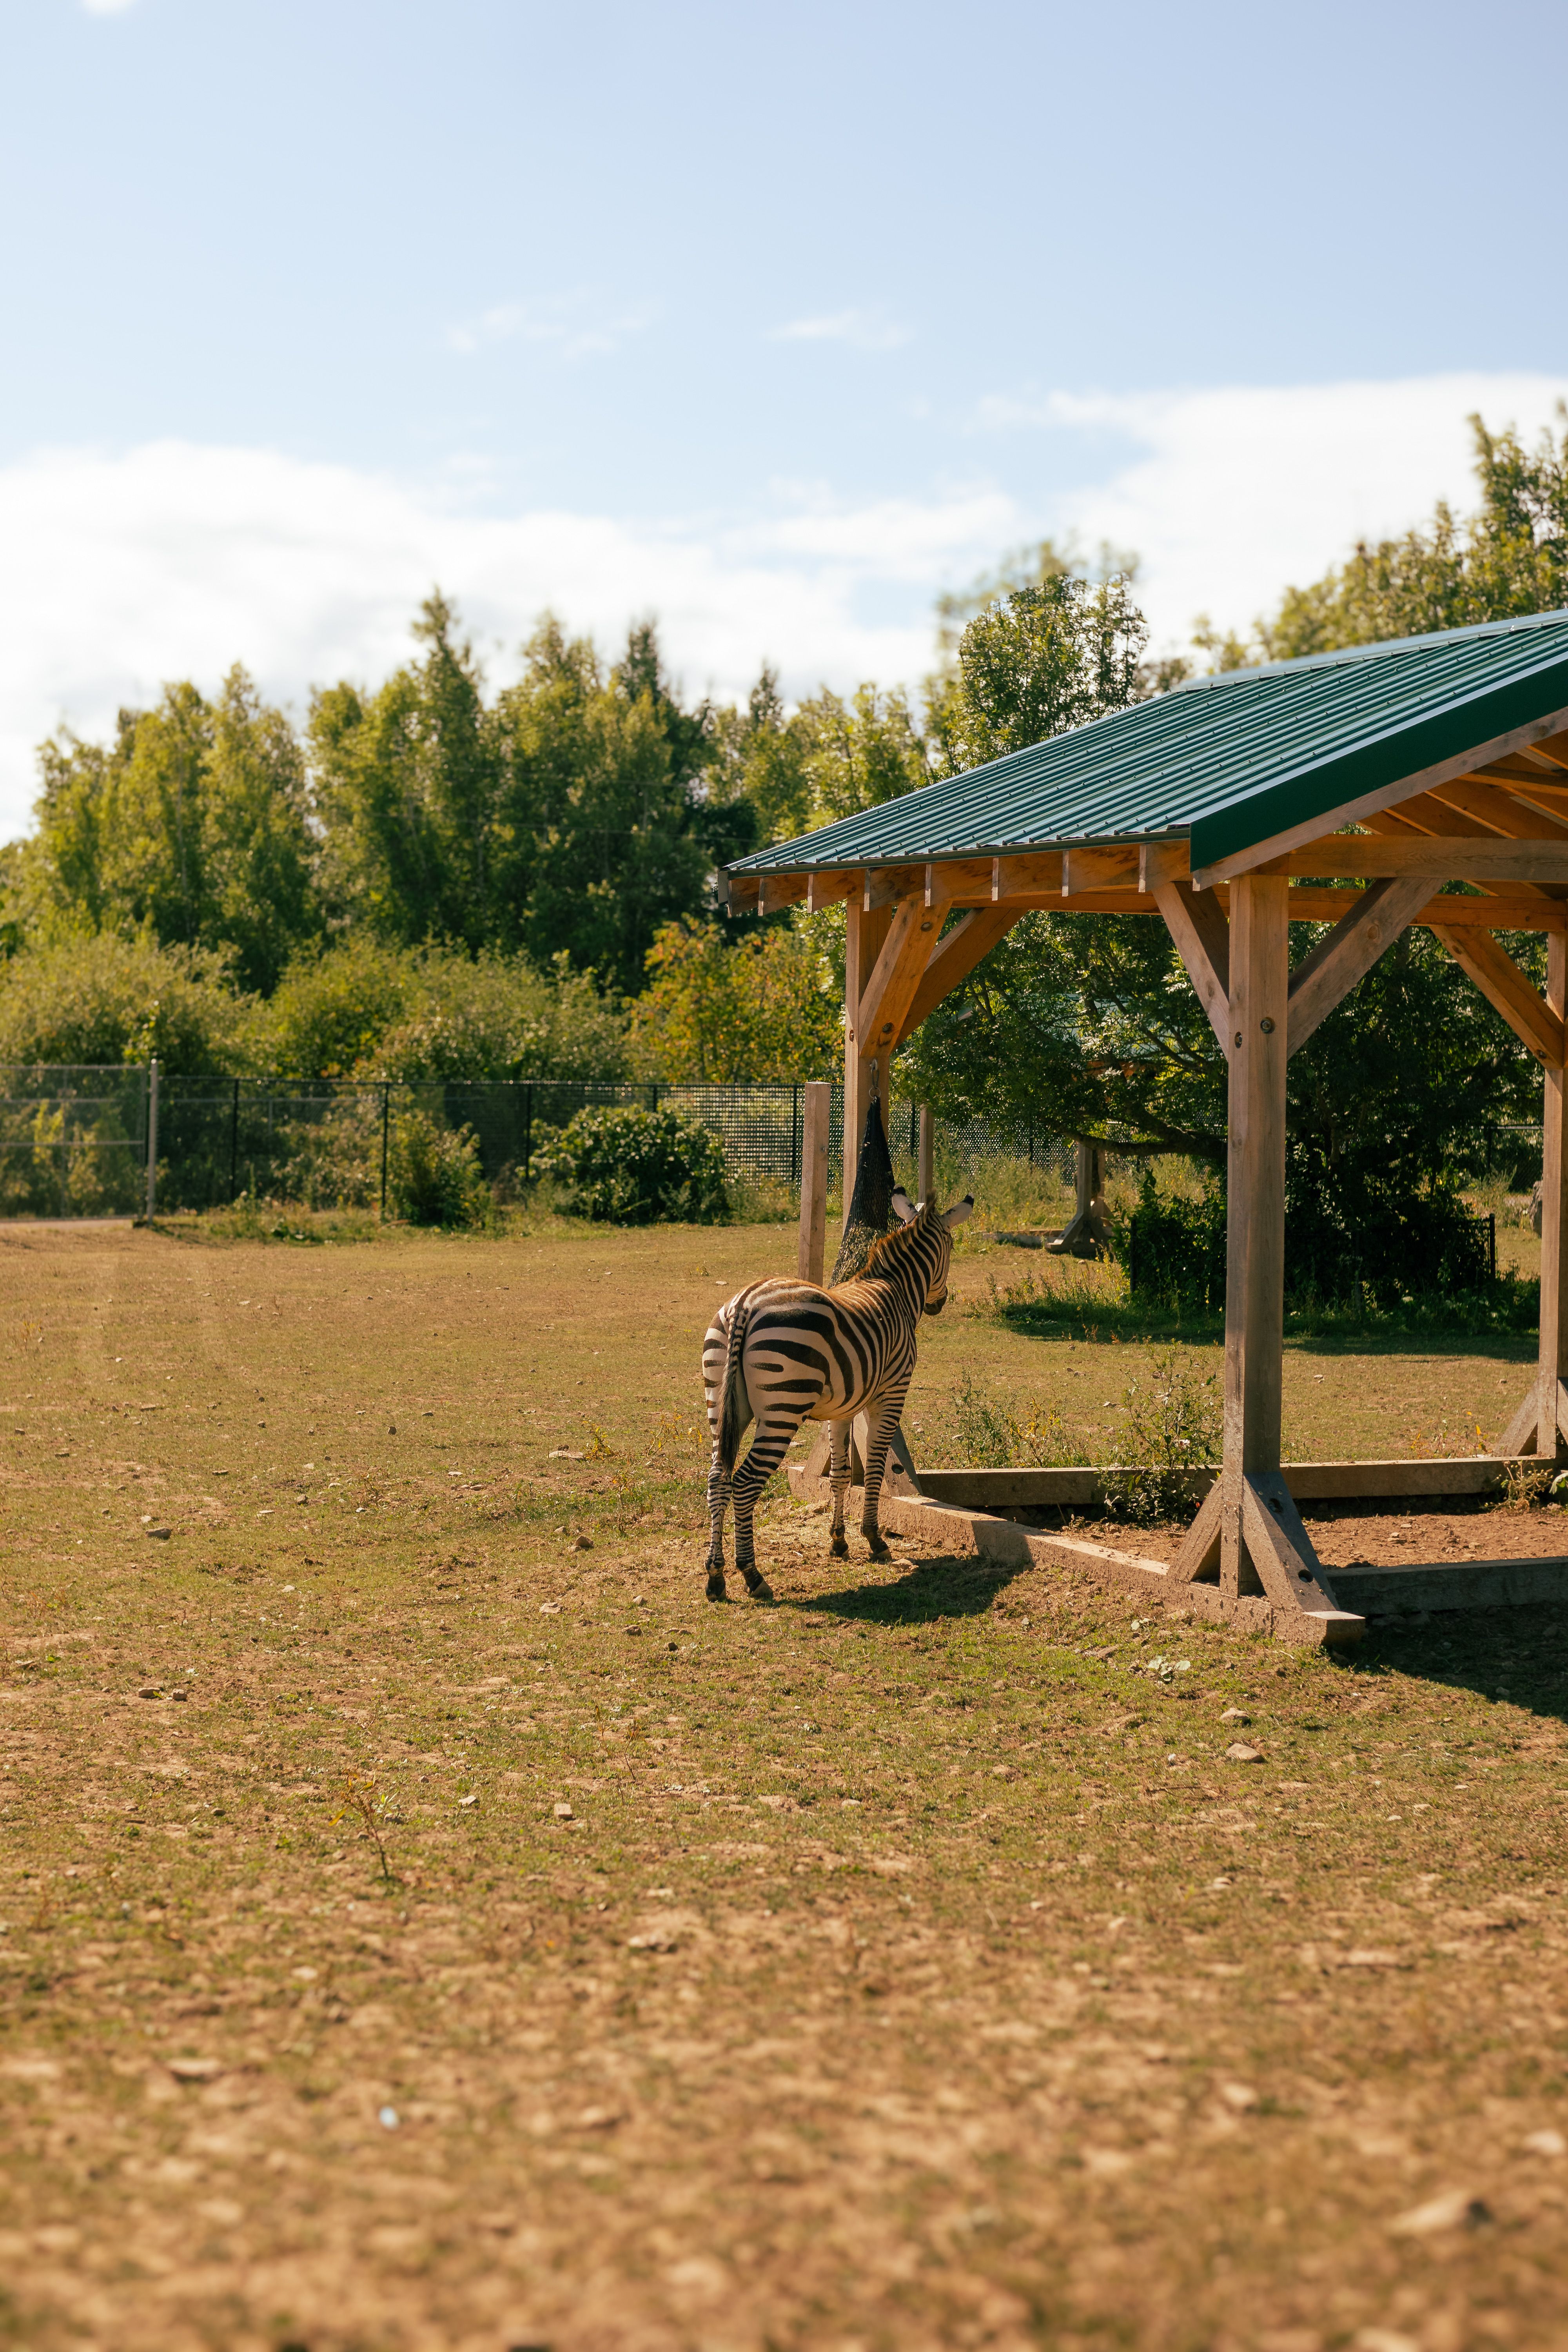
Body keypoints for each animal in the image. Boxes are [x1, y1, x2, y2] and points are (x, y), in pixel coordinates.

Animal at [700, 1188, 973, 1600]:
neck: (897, 1289)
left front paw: (839, 1541)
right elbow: (875, 1466)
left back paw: (716, 1577)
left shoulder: (842, 1408)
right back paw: (752, 1574)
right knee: (745, 1482)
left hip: (721, 1401)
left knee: (718, 1477)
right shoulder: (891, 1393)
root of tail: (745, 1304)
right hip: (782, 1410)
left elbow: (842, 1474)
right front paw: (875, 1540)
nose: (938, 1304)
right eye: (952, 1246)